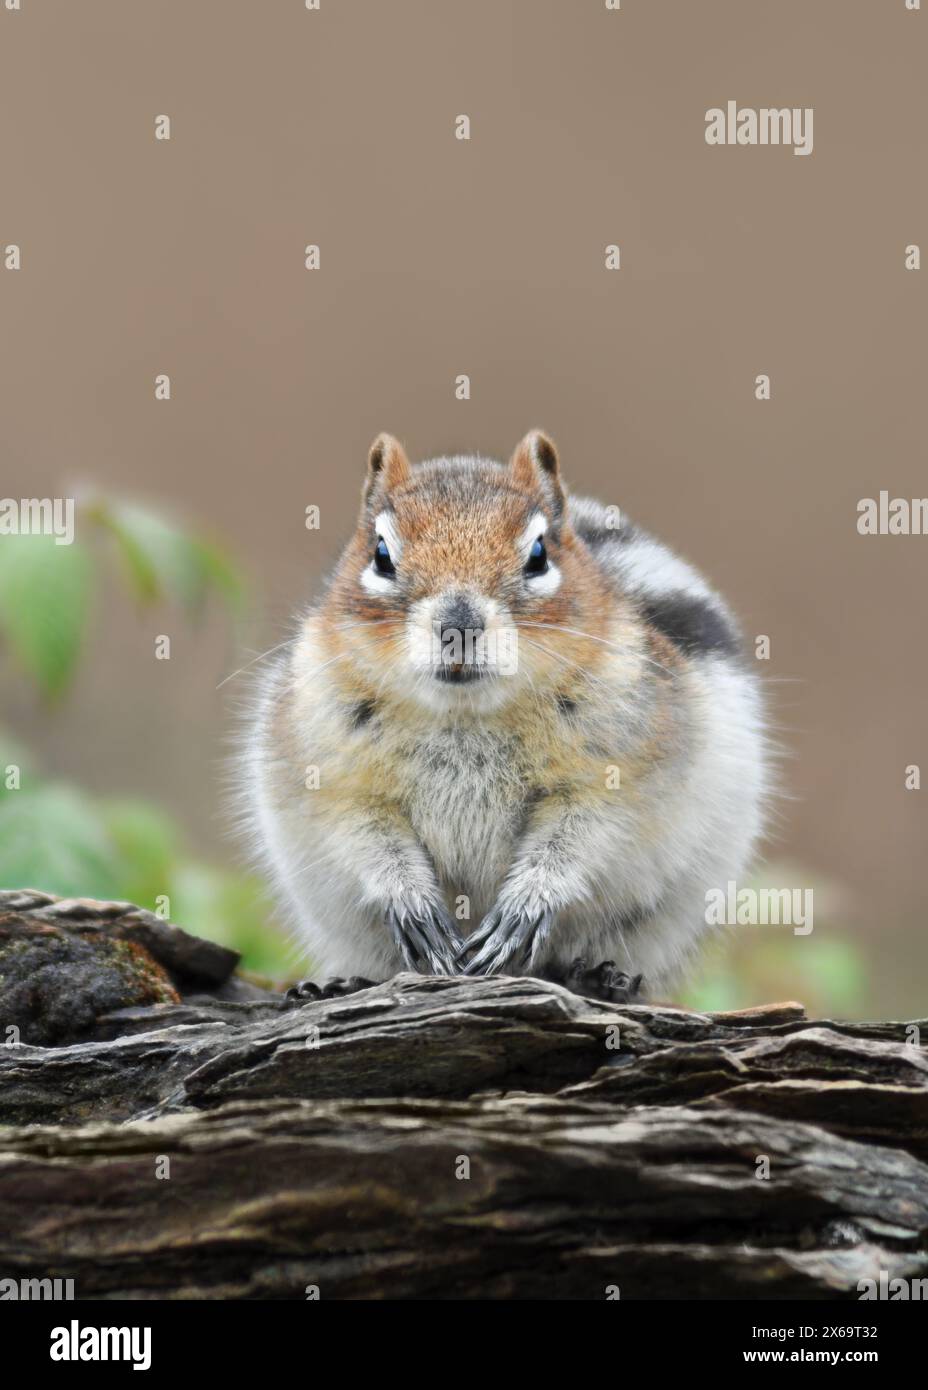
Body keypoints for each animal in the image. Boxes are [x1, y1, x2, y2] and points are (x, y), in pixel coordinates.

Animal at [239, 431, 768, 1002]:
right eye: (380, 555)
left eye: (538, 554)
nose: (459, 625)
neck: (464, 717)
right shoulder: (332, 778)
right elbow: (364, 838)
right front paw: (412, 903)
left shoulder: (617, 776)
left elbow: (582, 838)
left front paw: (525, 906)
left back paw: (600, 976)